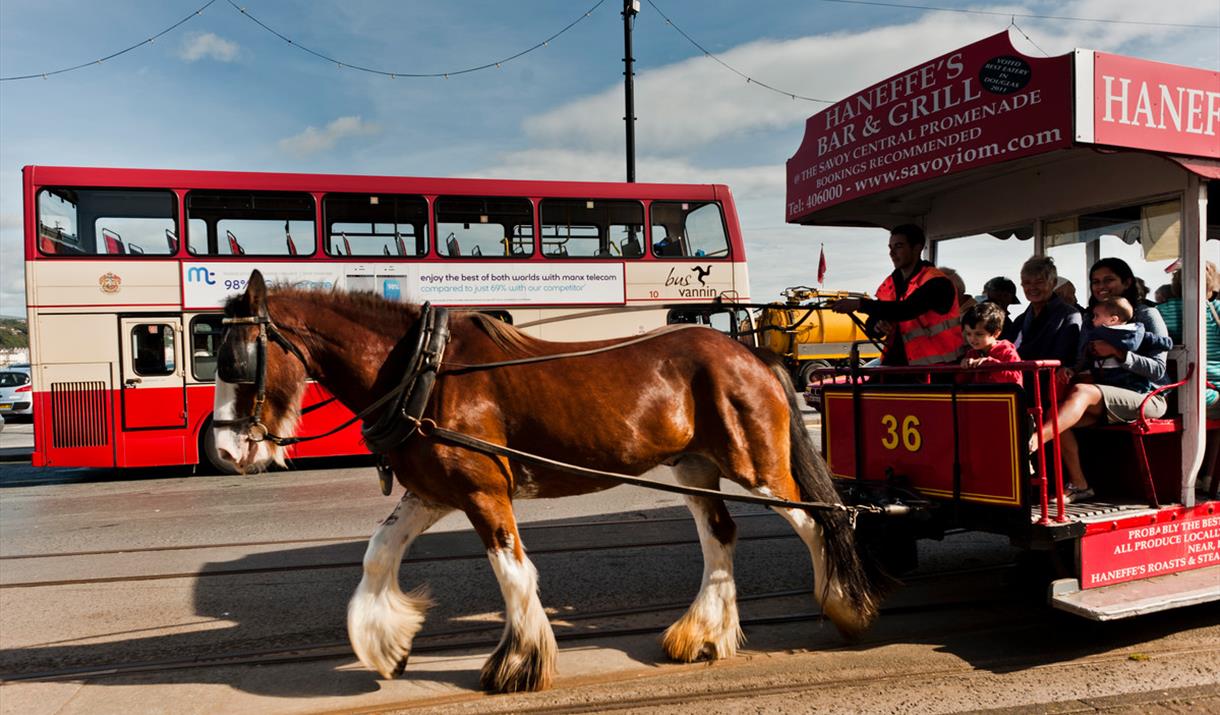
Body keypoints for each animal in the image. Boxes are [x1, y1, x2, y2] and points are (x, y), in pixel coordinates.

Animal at [212, 270, 885, 693]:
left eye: (239, 361)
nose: (221, 449)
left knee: (818, 520)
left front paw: (518, 664)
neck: (421, 371)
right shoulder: (434, 491)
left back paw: (844, 608)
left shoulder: (483, 492)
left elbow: (512, 571)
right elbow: (378, 554)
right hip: (695, 466)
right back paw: (705, 635)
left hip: (759, 467)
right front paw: (385, 644)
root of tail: (751, 353)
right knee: (720, 535)